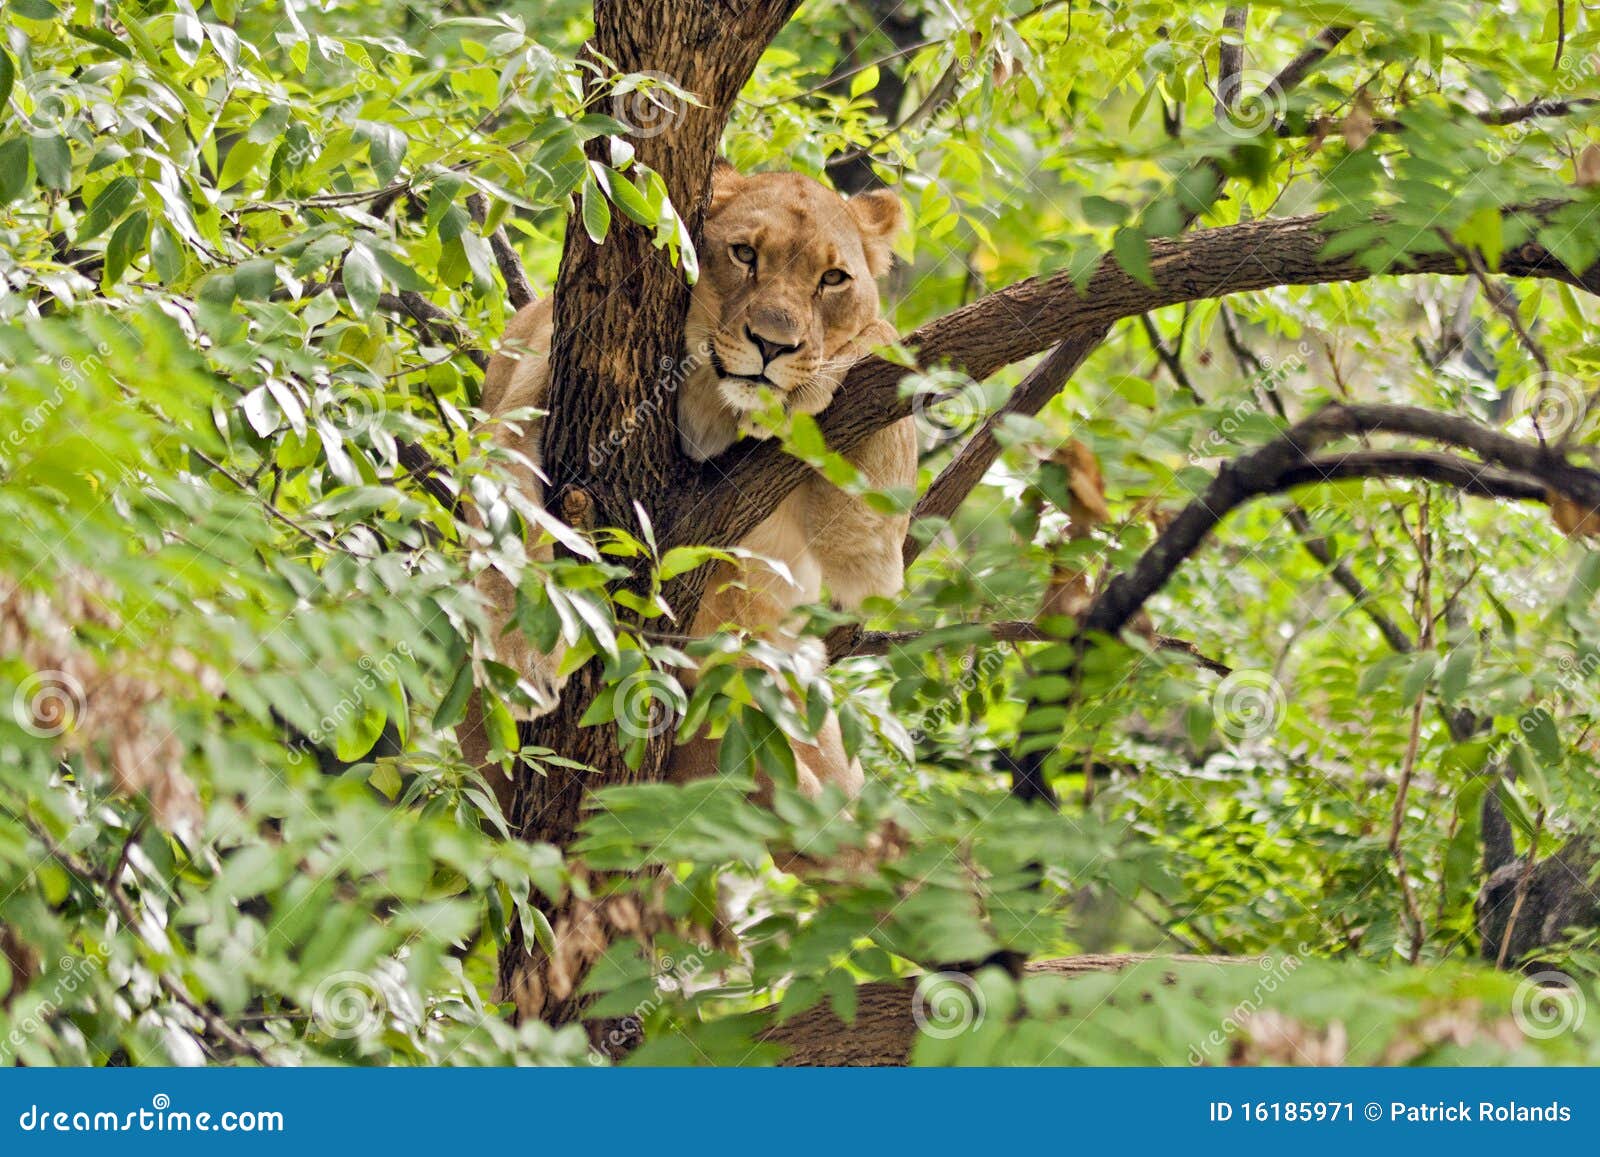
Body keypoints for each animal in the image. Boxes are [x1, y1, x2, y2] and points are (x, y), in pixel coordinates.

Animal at [465, 161, 914, 808]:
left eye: (833, 279)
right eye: (744, 253)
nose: (773, 343)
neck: (713, 406)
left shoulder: (866, 546)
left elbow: (882, 334)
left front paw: (819, 376)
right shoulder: (525, 412)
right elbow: (511, 531)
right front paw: (522, 657)